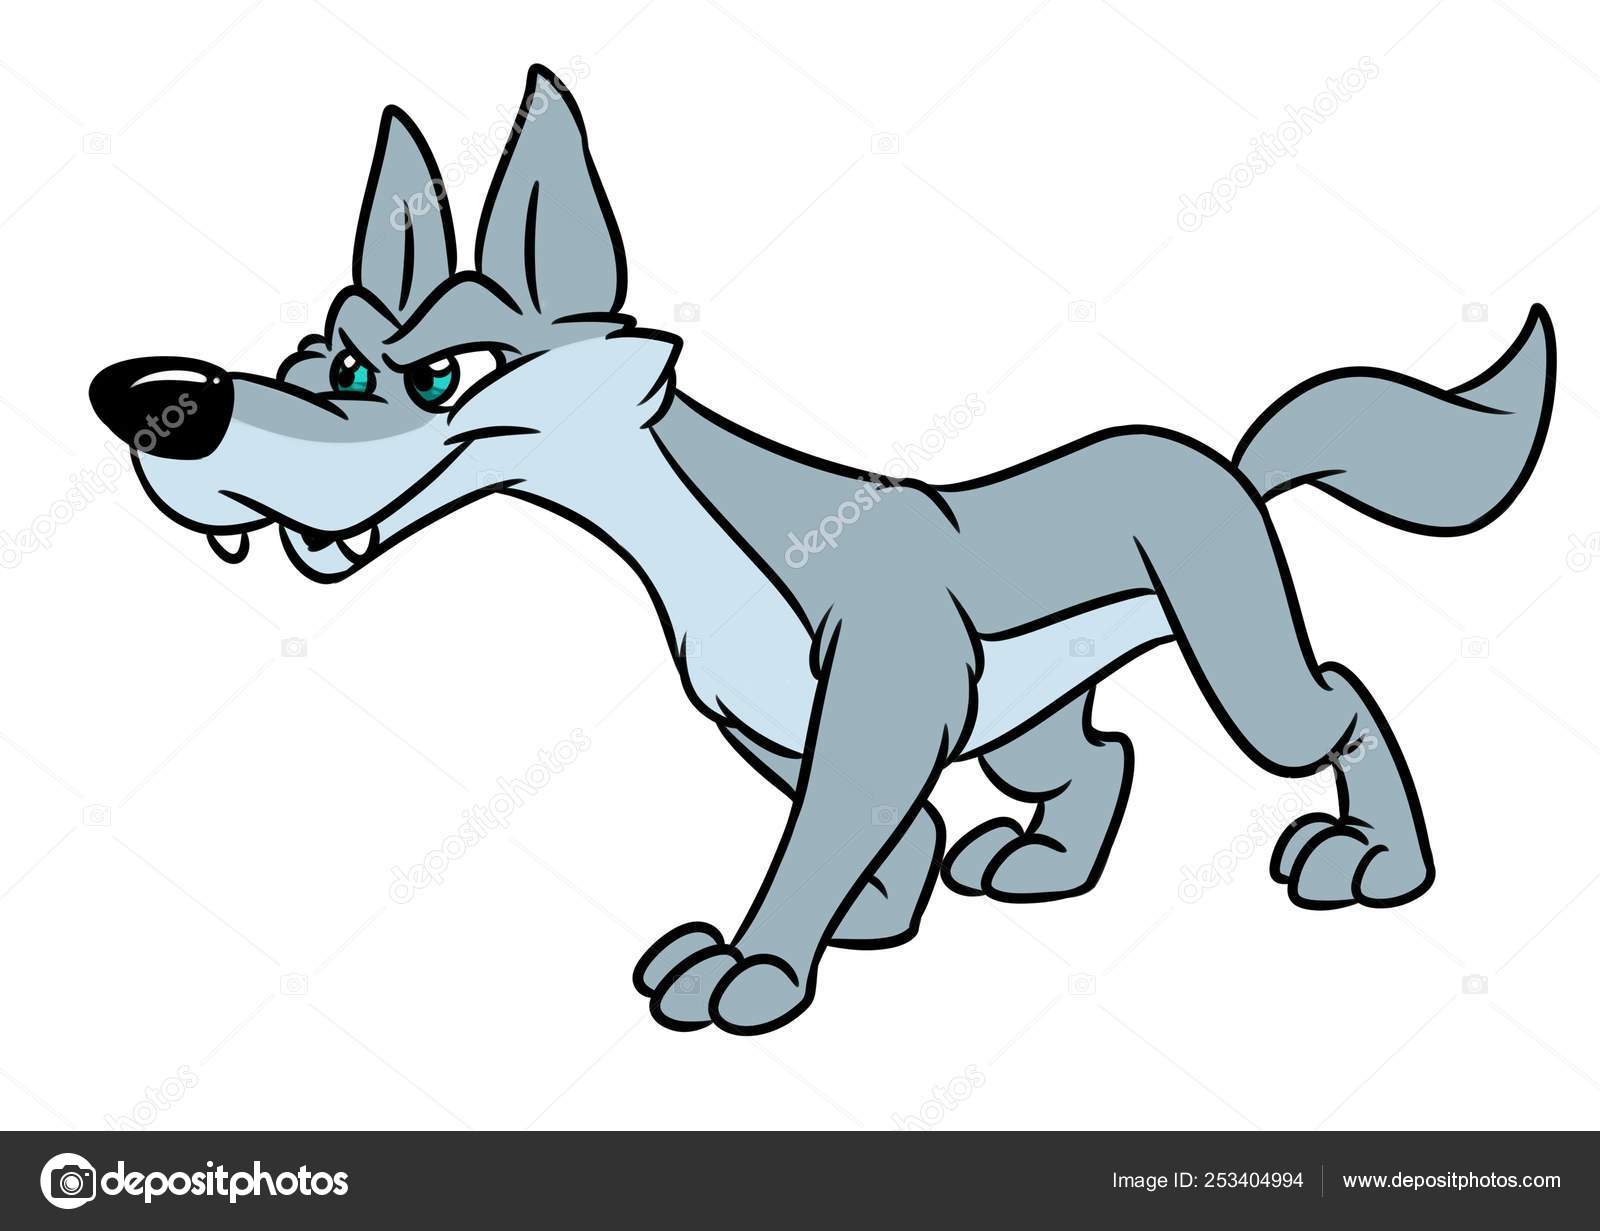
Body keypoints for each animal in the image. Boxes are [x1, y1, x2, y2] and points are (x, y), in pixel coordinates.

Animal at [92, 67, 1555, 1034]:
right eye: (320, 357)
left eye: (437, 374)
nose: (156, 401)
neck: (708, 540)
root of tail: (1223, 458)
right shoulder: (783, 724)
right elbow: (880, 833)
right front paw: (875, 917)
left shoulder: (878, 714)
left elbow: (814, 845)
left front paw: (759, 968)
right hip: (1031, 717)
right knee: (1101, 757)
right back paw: (1046, 867)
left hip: (1245, 672)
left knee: (1339, 697)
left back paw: (1380, 863)